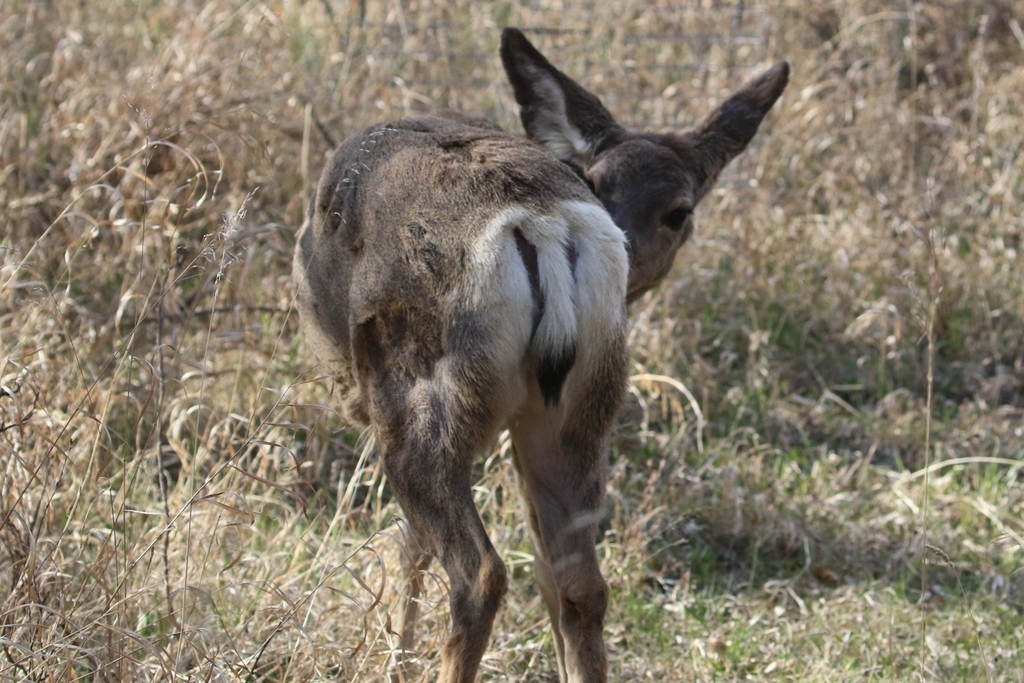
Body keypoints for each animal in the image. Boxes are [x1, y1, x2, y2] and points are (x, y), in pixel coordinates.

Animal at [293, 27, 788, 683]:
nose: (628, 241)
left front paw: (396, 658)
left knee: (477, 571)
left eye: (678, 211)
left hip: (420, 397)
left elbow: (409, 546)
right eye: (596, 180)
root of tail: (542, 225)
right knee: (580, 583)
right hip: (578, 410)